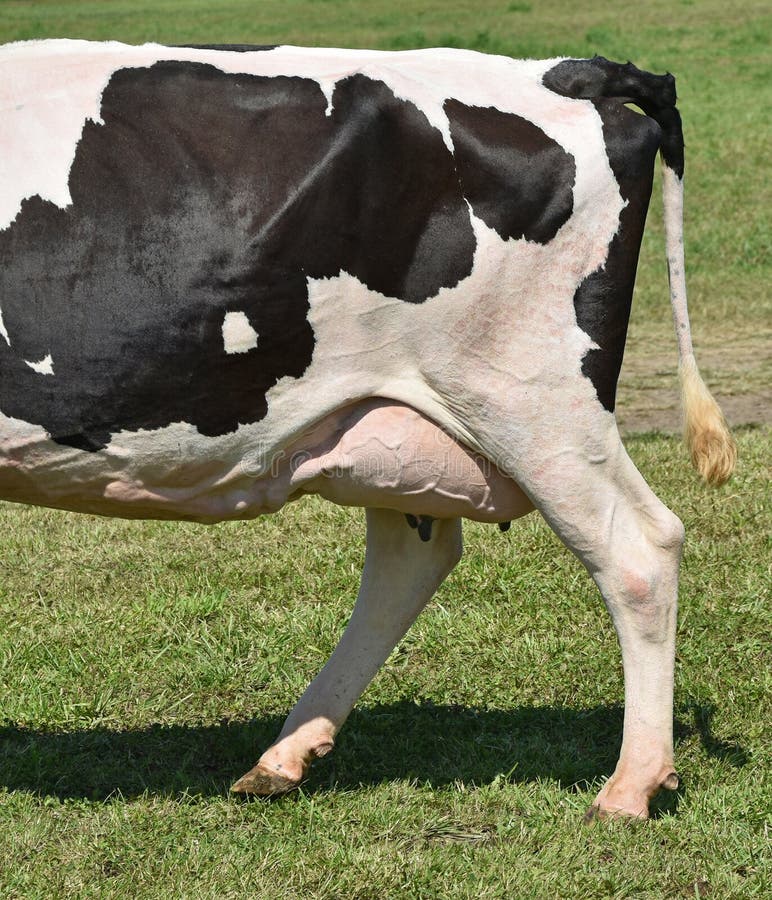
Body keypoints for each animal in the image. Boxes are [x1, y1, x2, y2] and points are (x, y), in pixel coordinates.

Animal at [0, 40, 736, 819]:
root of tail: (563, 69)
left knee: (641, 548)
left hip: (533, 399)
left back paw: (631, 785)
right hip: (402, 416)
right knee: (410, 559)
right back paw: (285, 754)